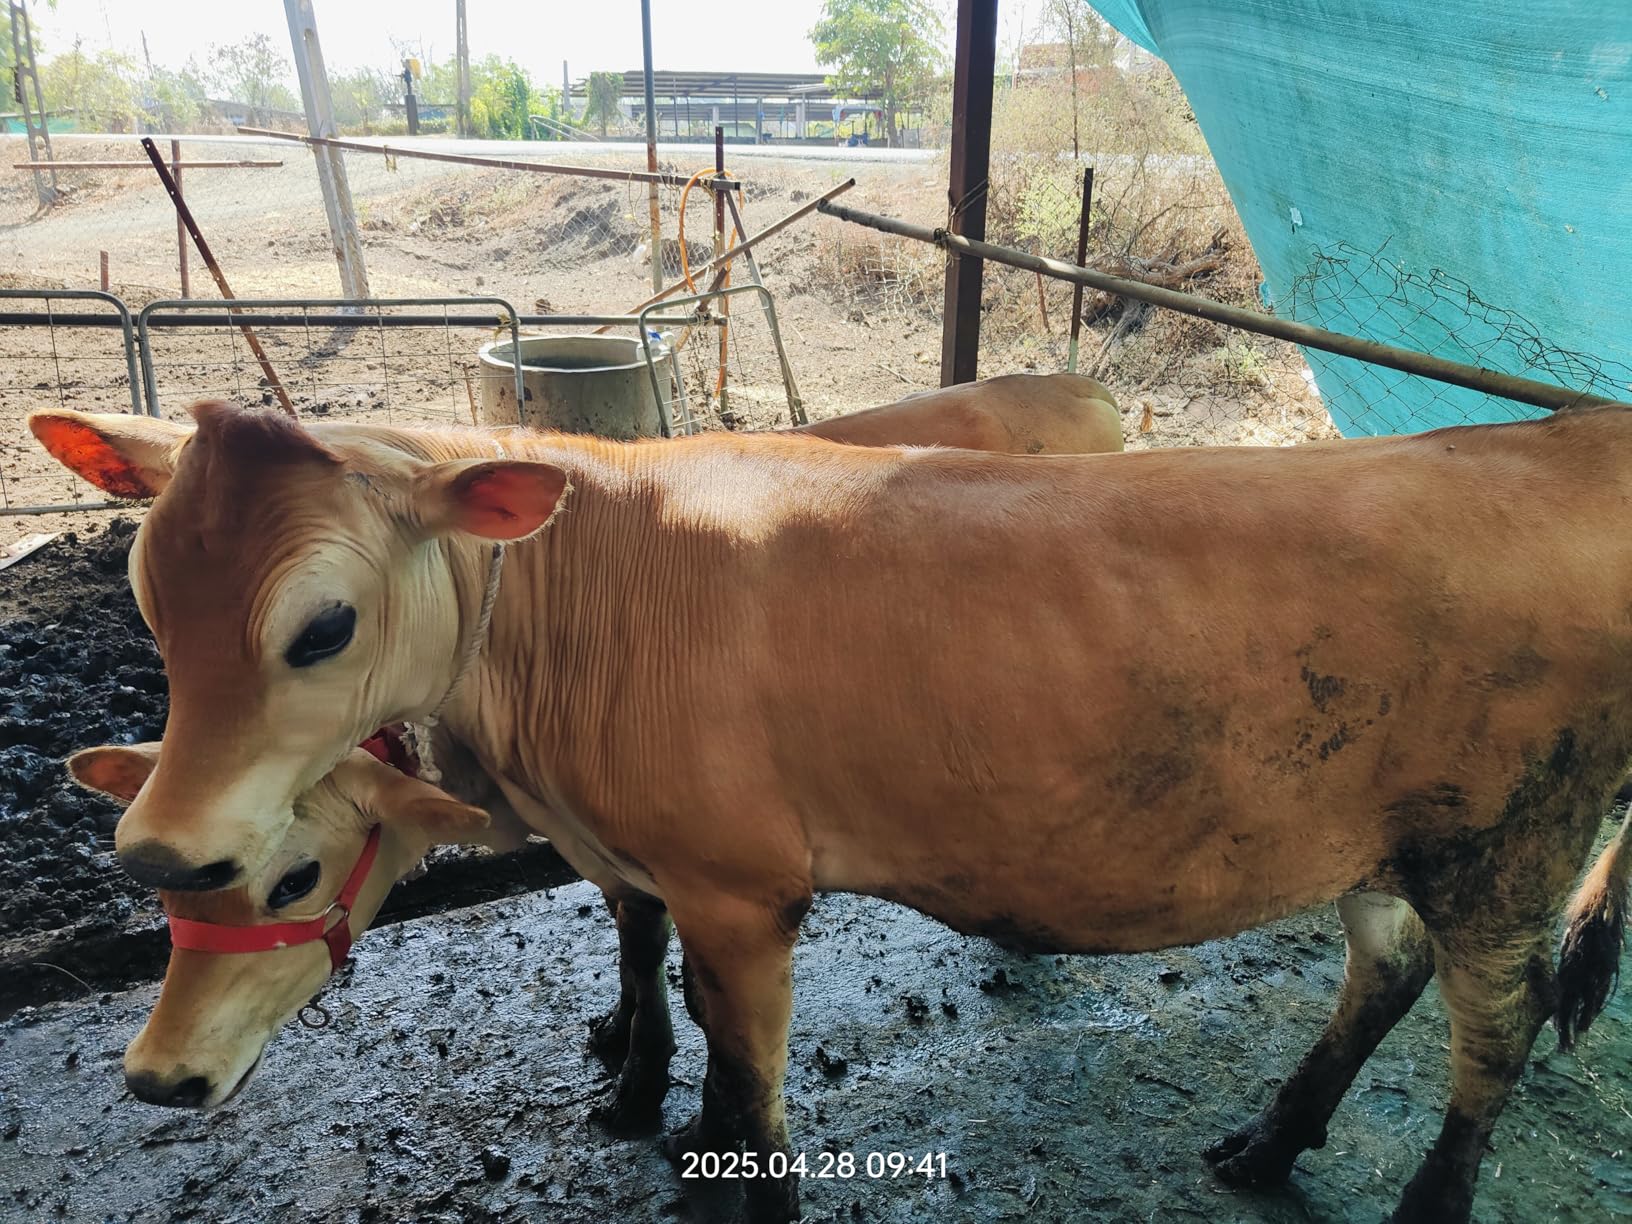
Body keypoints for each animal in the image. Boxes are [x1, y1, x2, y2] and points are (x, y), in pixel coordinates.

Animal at [31, 400, 1632, 1224]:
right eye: (147, 595)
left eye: (321, 625)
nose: (158, 844)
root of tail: (1576, 430)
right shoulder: (646, 851)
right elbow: (643, 959)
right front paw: (633, 1088)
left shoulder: (744, 886)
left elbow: (747, 1072)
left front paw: (719, 1165)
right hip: (1382, 829)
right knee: (1385, 967)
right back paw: (1272, 1141)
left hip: (1516, 841)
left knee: (1495, 1030)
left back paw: (1421, 1204)